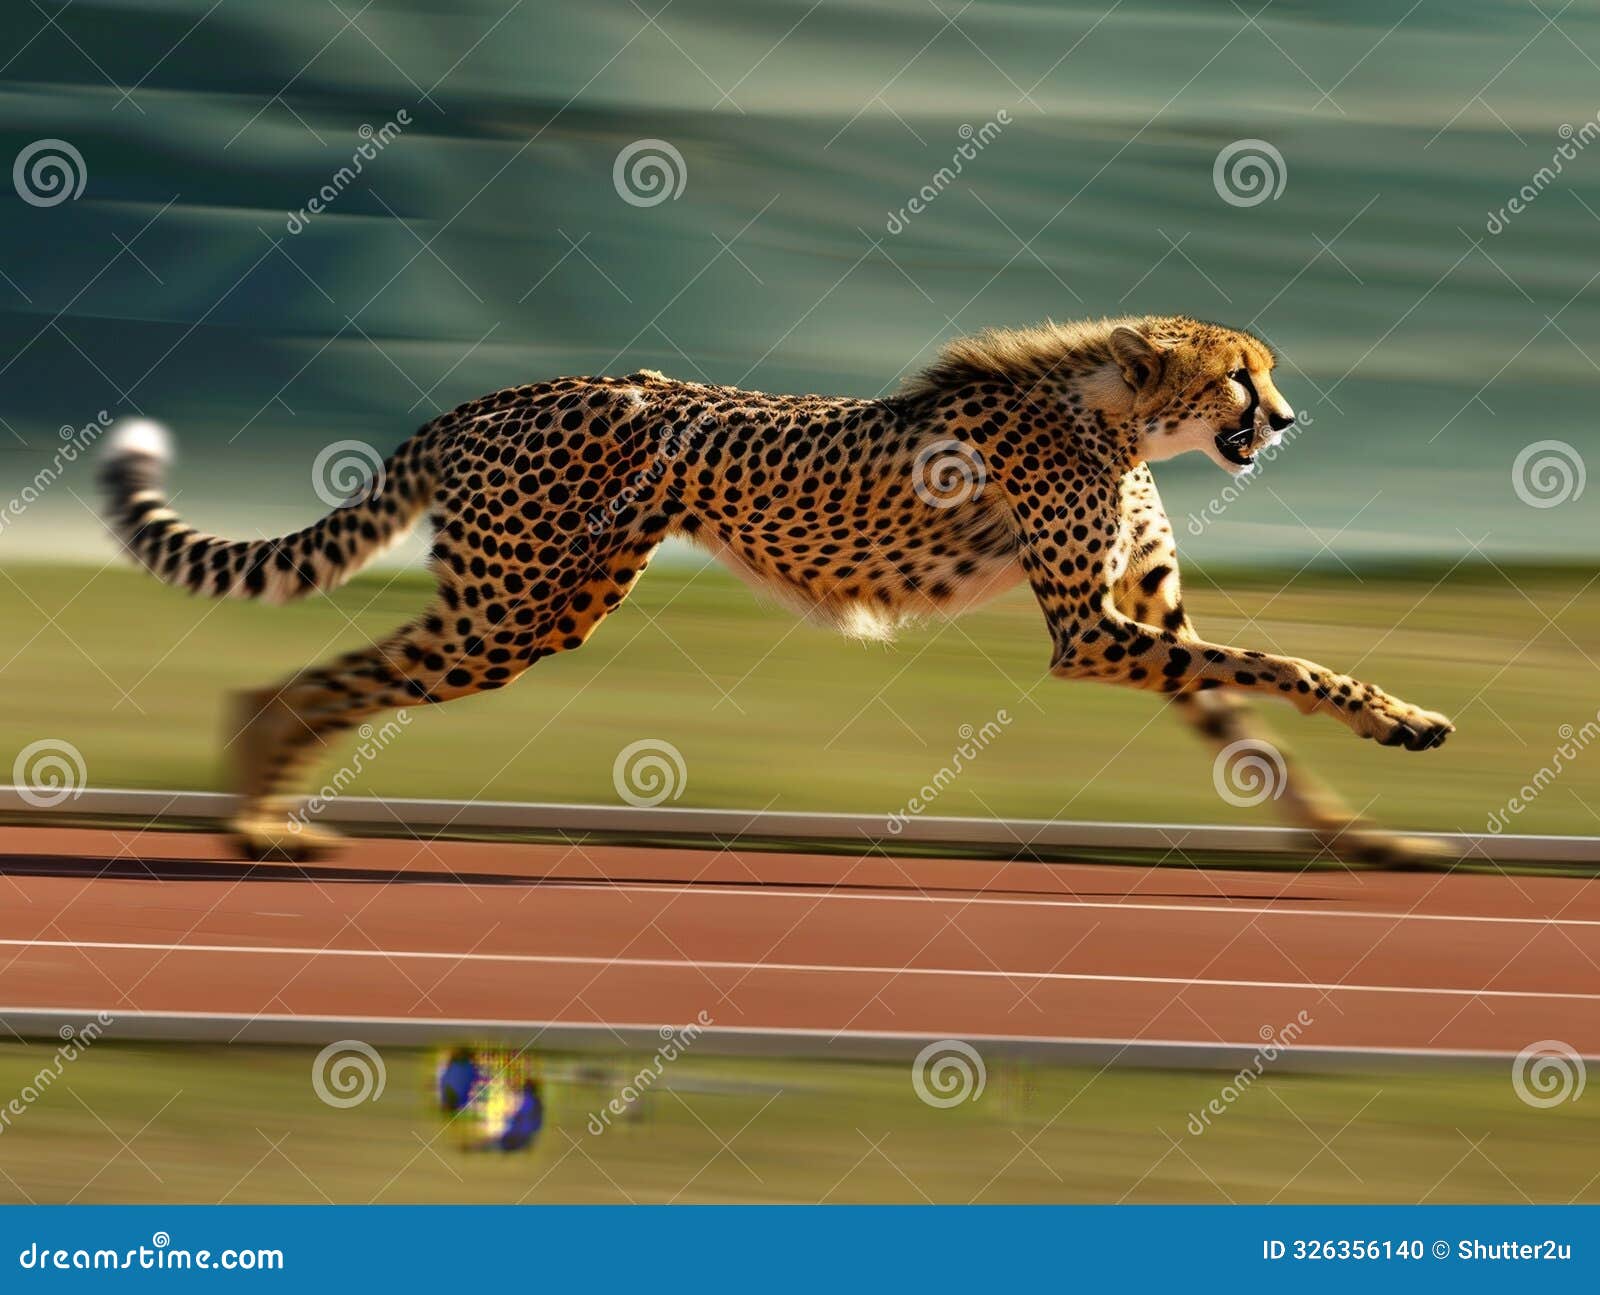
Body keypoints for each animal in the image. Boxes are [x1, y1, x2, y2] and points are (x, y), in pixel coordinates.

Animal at [100, 314, 1454, 863]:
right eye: (1239, 376)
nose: (1286, 418)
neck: (1112, 418)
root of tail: (495, 393)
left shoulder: (1147, 621)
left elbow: (1258, 729)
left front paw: (1370, 828)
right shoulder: (1094, 631)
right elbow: (1280, 664)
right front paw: (1399, 723)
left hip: (541, 600)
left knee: (328, 678)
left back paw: (262, 816)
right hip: (509, 612)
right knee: (303, 680)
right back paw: (254, 816)